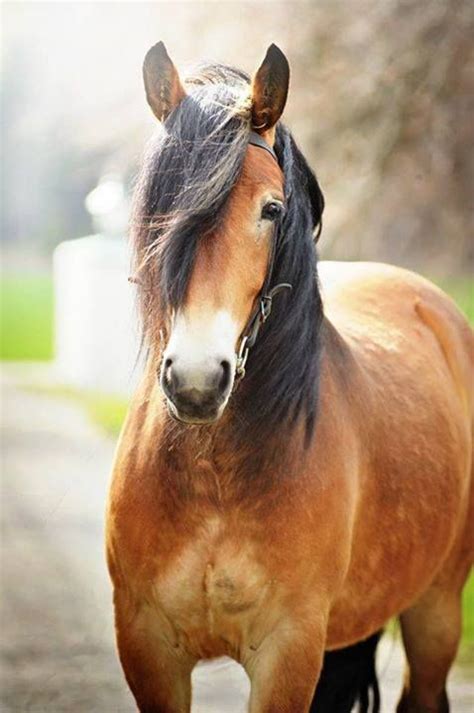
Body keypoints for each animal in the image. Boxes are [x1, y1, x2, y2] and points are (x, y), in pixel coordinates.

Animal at [106, 42, 474, 713]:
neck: (216, 477)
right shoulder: (147, 646)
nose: (197, 381)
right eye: (156, 208)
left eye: (271, 209)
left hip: (435, 610)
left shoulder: (288, 650)